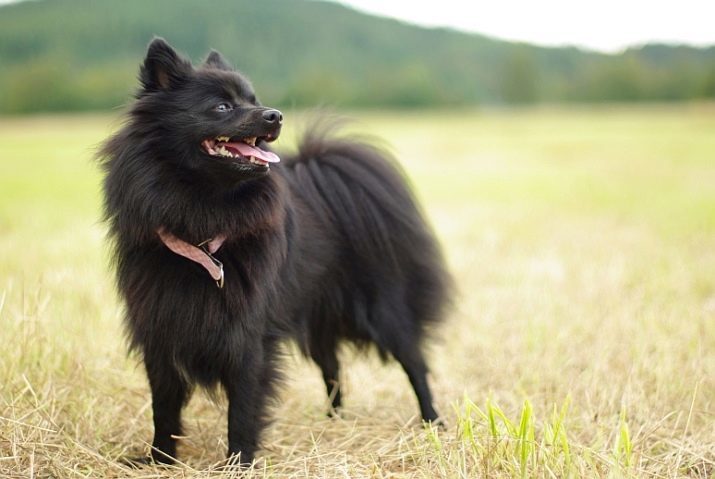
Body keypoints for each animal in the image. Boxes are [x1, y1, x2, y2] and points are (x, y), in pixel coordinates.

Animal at [98, 39, 450, 466]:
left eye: (254, 100)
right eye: (222, 107)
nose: (275, 115)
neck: (203, 218)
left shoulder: (248, 339)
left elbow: (242, 409)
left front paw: (239, 463)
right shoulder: (160, 331)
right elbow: (163, 408)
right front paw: (159, 459)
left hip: (383, 310)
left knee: (415, 363)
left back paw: (433, 423)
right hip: (317, 318)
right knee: (332, 367)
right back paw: (333, 421)